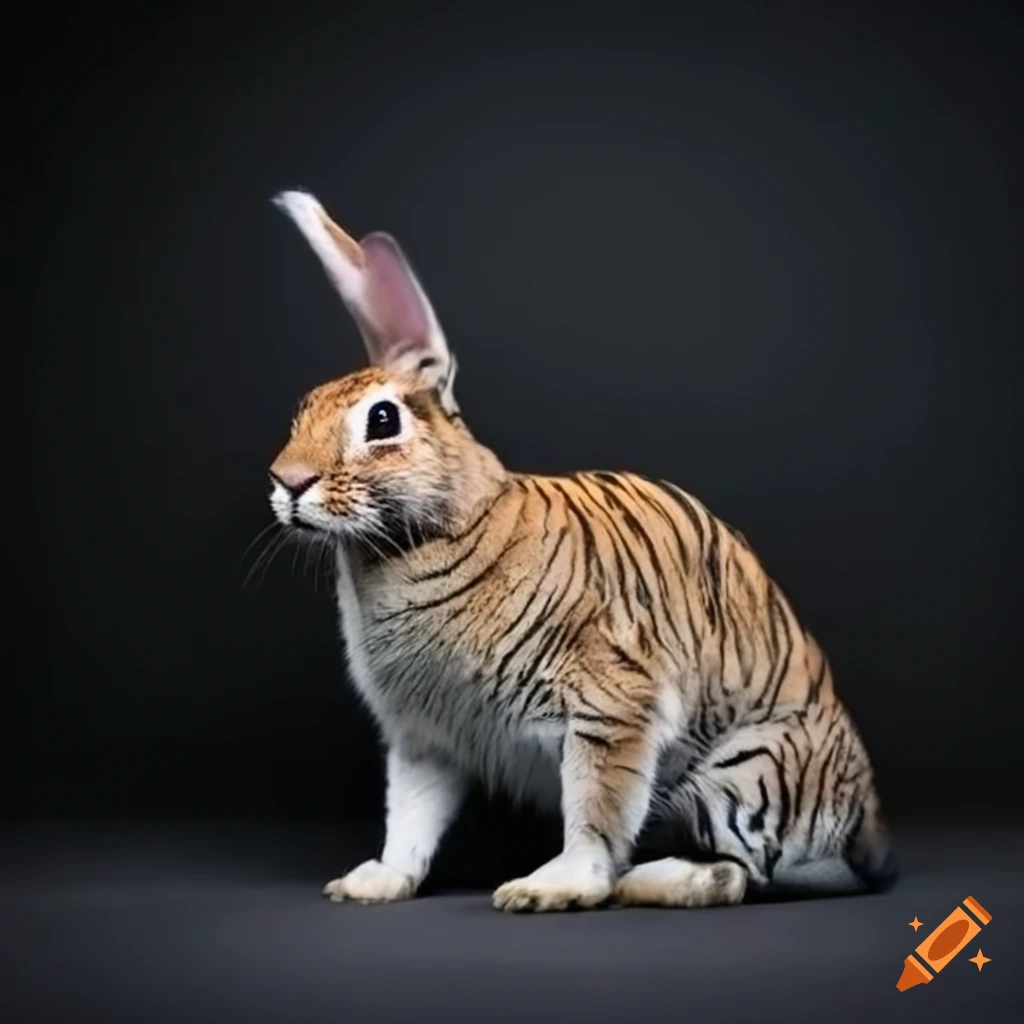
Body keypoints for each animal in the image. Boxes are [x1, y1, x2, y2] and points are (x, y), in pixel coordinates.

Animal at [265, 189, 897, 912]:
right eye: (303, 410)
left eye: (381, 420)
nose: (286, 480)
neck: (433, 532)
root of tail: (867, 821)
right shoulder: (425, 737)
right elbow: (412, 818)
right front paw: (373, 883)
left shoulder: (611, 703)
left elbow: (597, 808)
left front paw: (553, 888)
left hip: (745, 772)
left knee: (739, 873)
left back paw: (640, 881)